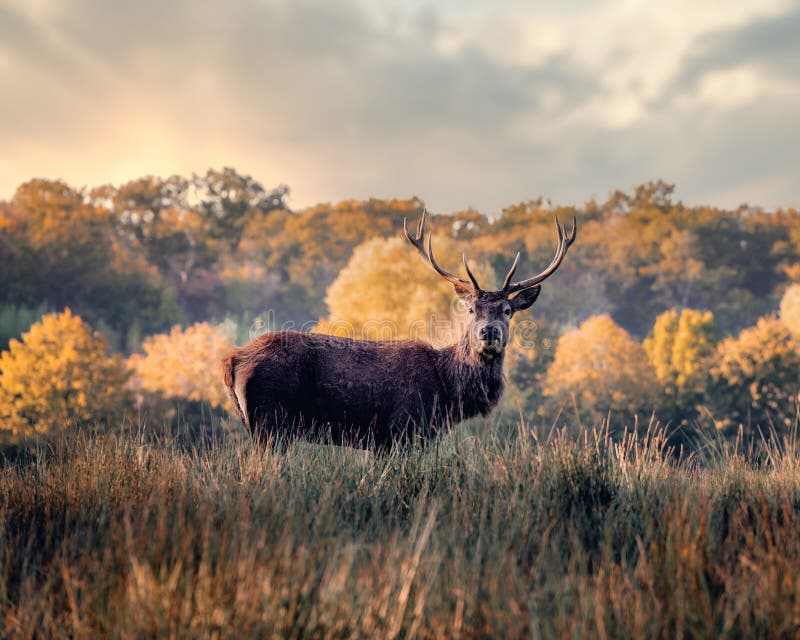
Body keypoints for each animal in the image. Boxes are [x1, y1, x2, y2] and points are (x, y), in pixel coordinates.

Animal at [222, 211, 576, 449]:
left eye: (507, 311)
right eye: (471, 309)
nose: (488, 332)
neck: (448, 392)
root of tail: (232, 359)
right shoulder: (404, 428)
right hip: (271, 420)